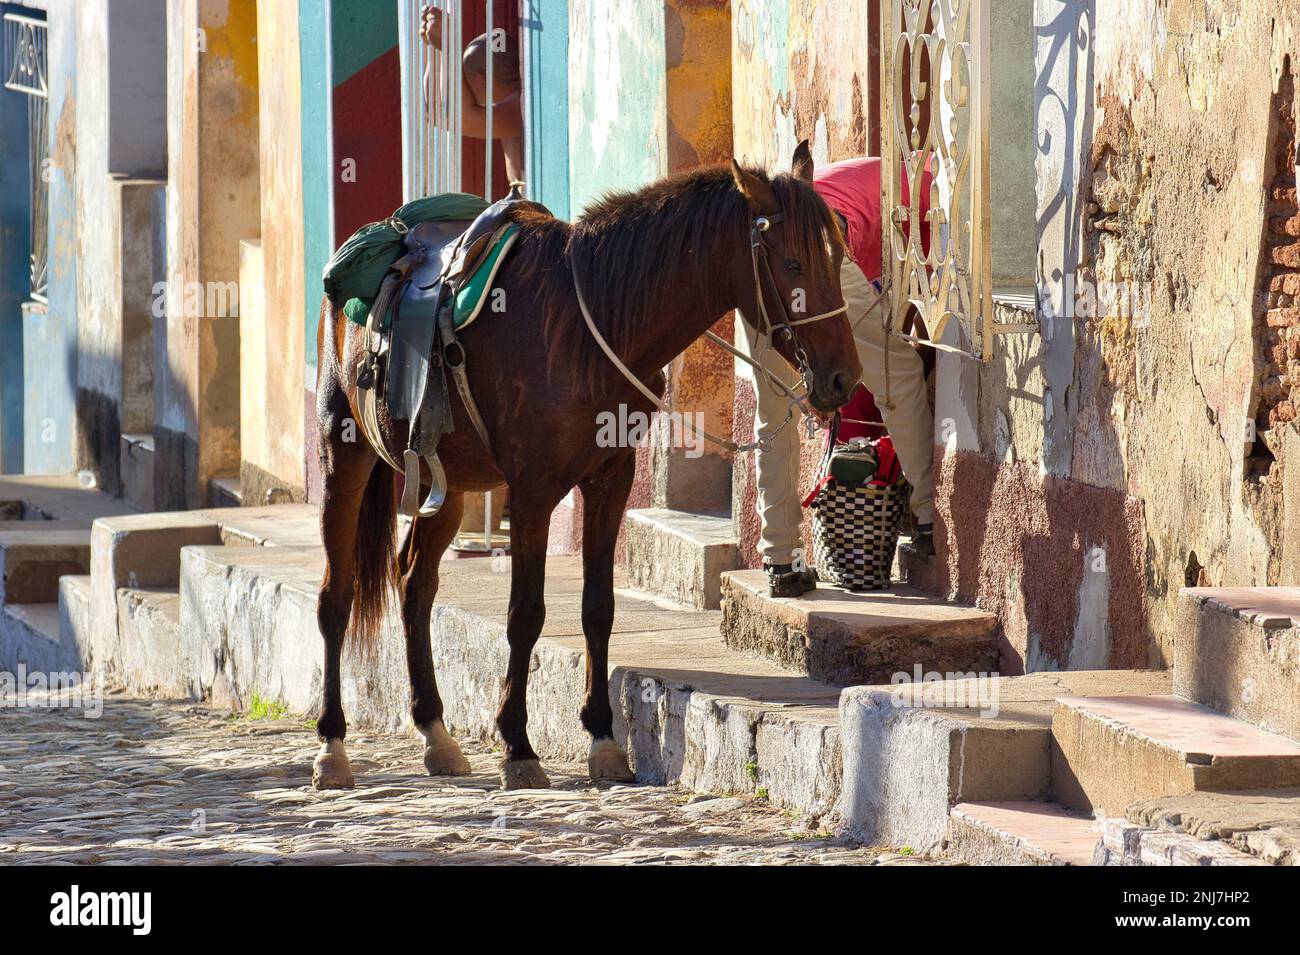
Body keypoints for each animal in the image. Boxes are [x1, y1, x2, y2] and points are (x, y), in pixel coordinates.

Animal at [311, 141, 863, 790]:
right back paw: (332, 745)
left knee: (414, 582)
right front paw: (518, 745)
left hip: (450, 483)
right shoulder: (531, 491)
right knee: (336, 596)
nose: (843, 379)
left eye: (839, 255)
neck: (586, 322)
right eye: (795, 264)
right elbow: (525, 614)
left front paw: (602, 739)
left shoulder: (611, 479)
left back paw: (435, 732)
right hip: (342, 453)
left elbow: (598, 610)